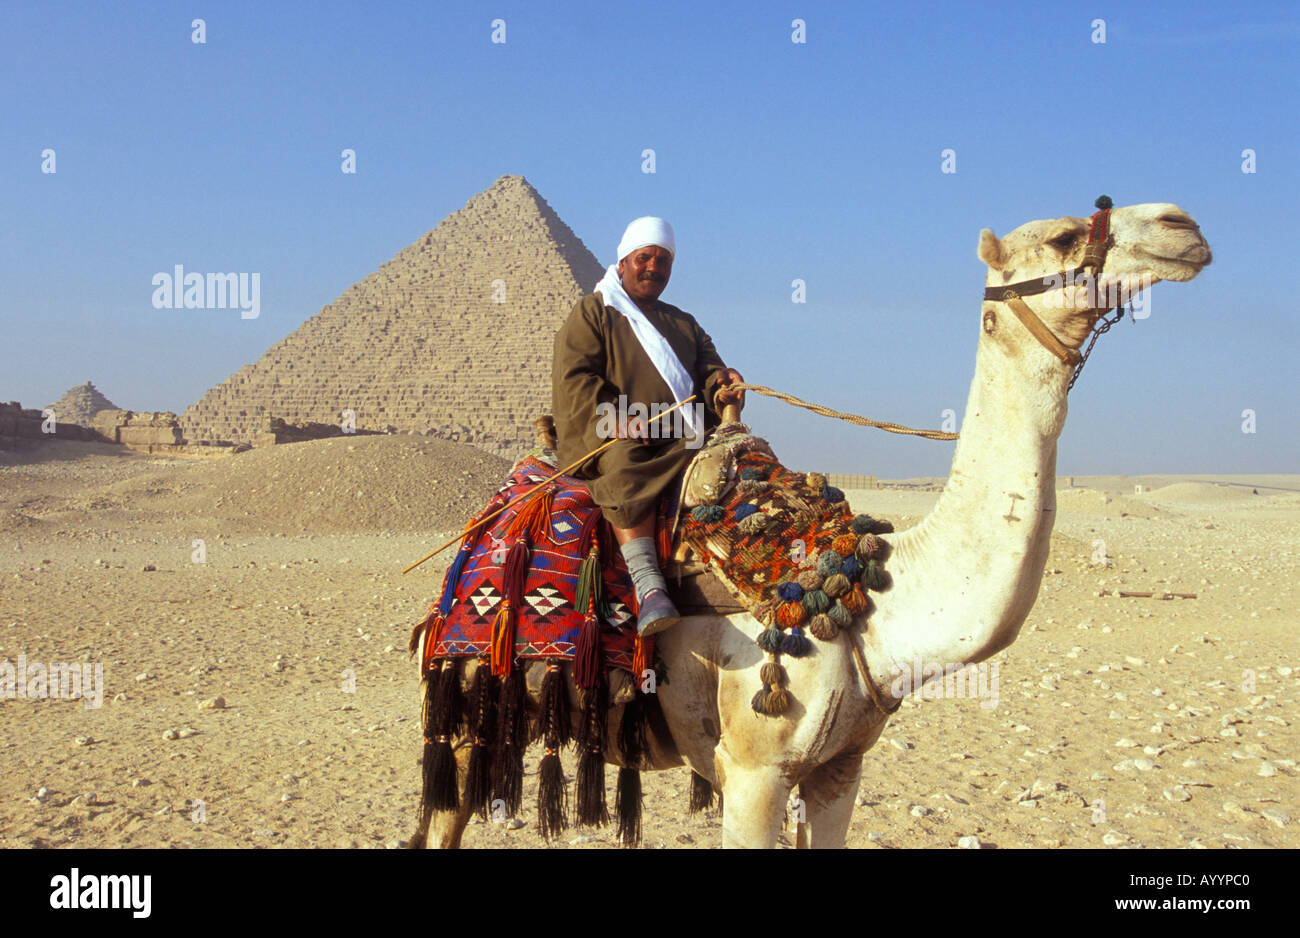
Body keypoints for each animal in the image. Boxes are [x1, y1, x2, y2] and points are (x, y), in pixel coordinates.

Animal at [415, 200, 1212, 848]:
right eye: (1063, 235)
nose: (1184, 225)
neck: (879, 605)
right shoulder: (753, 771)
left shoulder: (840, 771)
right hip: (472, 700)